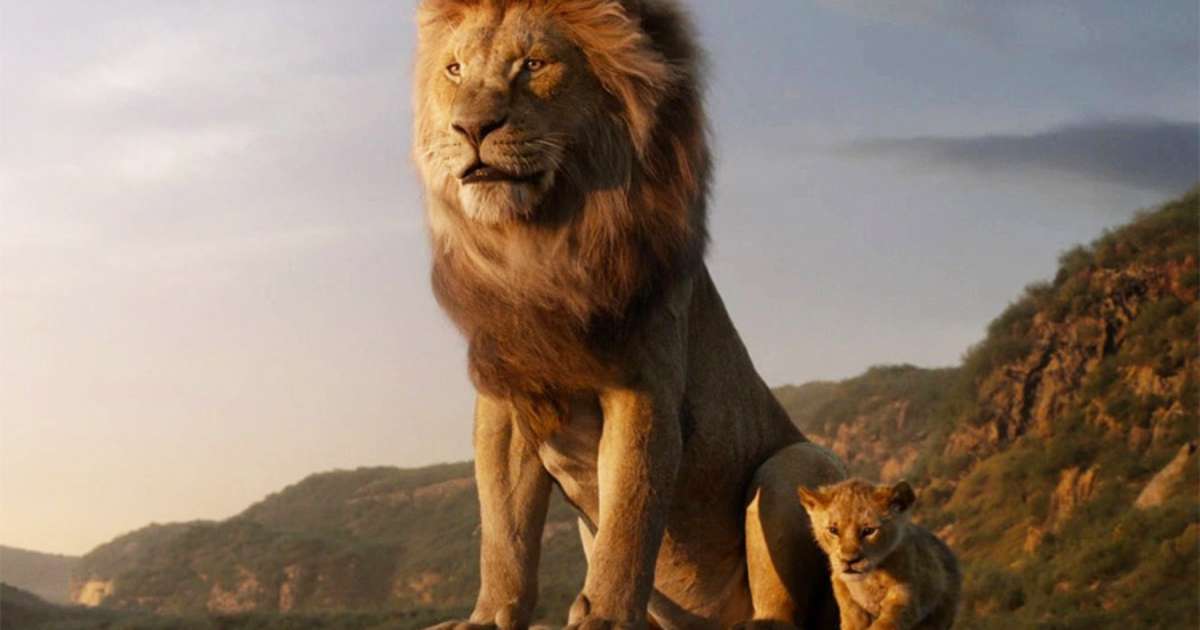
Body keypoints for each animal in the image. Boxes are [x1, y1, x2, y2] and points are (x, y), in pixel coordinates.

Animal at [412, 1, 845, 628]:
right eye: (454, 70)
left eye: (533, 65)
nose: (470, 128)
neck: (539, 247)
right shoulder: (506, 399)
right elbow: (503, 528)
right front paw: (489, 615)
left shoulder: (641, 387)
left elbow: (630, 515)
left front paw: (606, 617)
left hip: (794, 463)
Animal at [798, 480, 962, 630]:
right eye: (833, 530)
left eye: (869, 531)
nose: (849, 561)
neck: (868, 579)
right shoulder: (839, 581)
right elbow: (851, 611)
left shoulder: (907, 592)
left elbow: (886, 622)